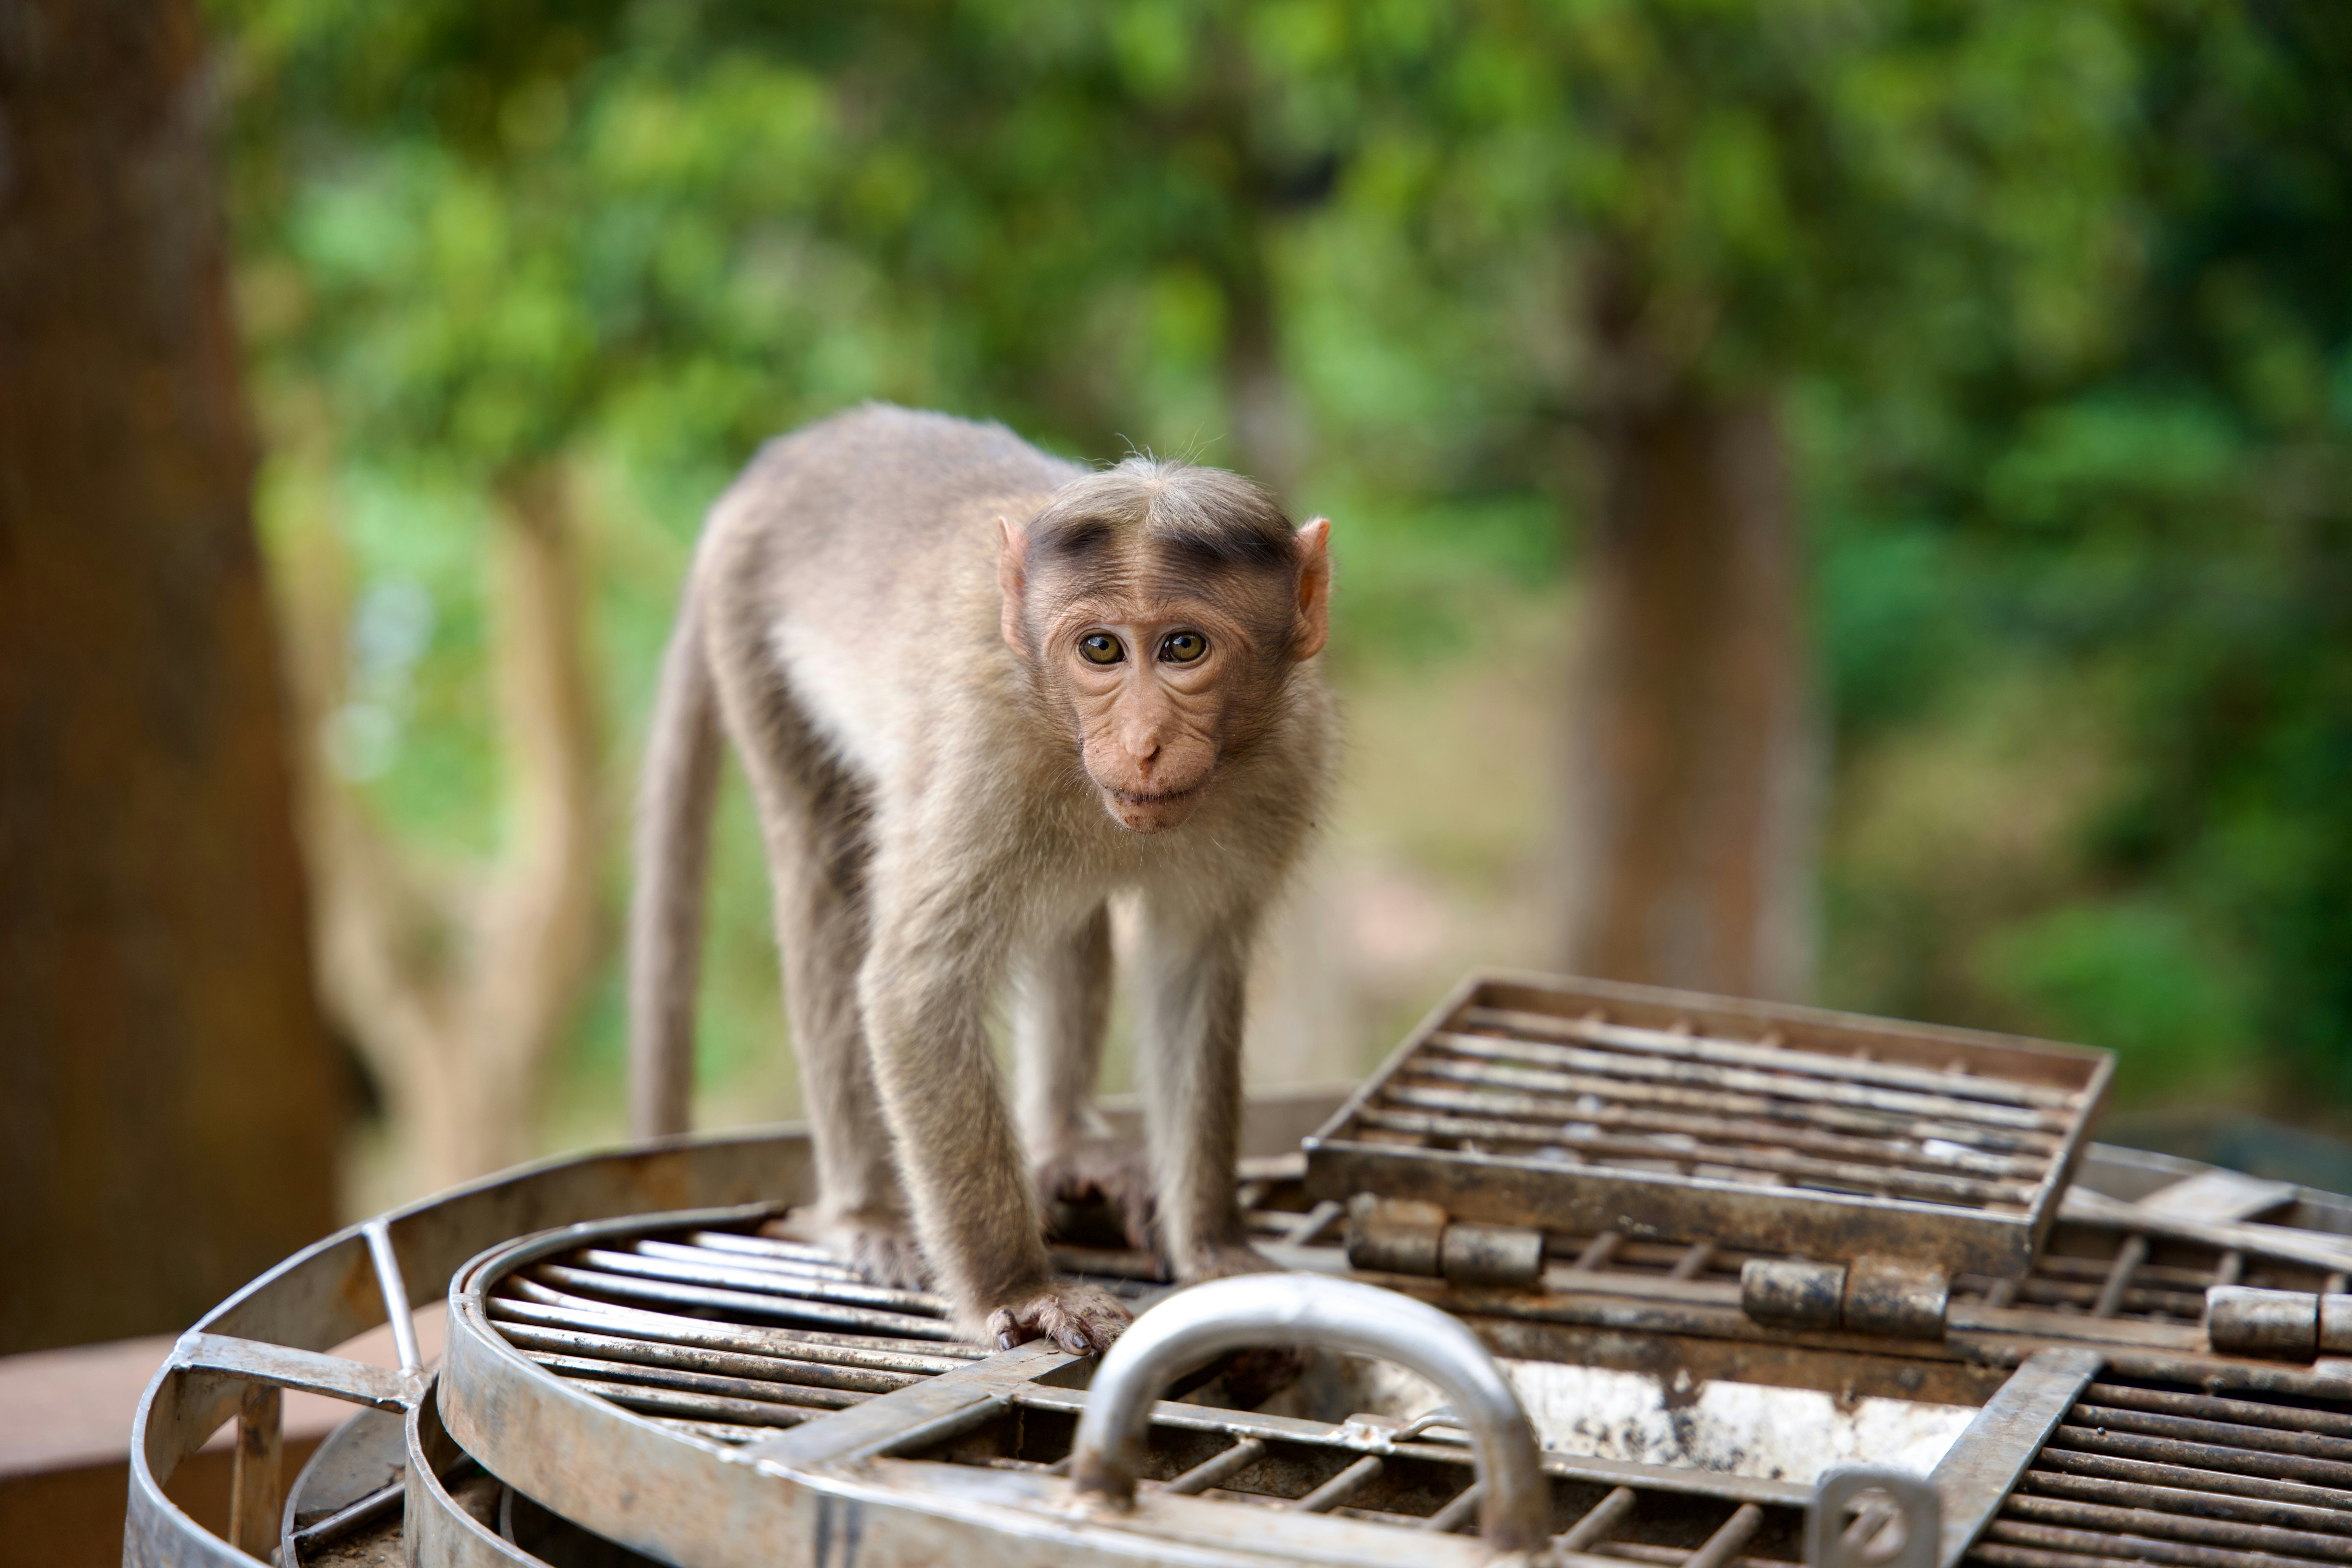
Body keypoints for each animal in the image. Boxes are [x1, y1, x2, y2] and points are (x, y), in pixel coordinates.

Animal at [626, 404, 1335, 1353]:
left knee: (1069, 908)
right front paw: (1022, 1288)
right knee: (826, 871)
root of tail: (787, 455)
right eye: (1102, 649)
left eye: (1184, 646)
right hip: (749, 630)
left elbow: (1192, 967)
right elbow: (914, 986)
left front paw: (1214, 1244)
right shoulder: (985, 750)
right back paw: (868, 1211)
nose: (1143, 740)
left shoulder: (1284, 762)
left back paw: (1065, 1143)